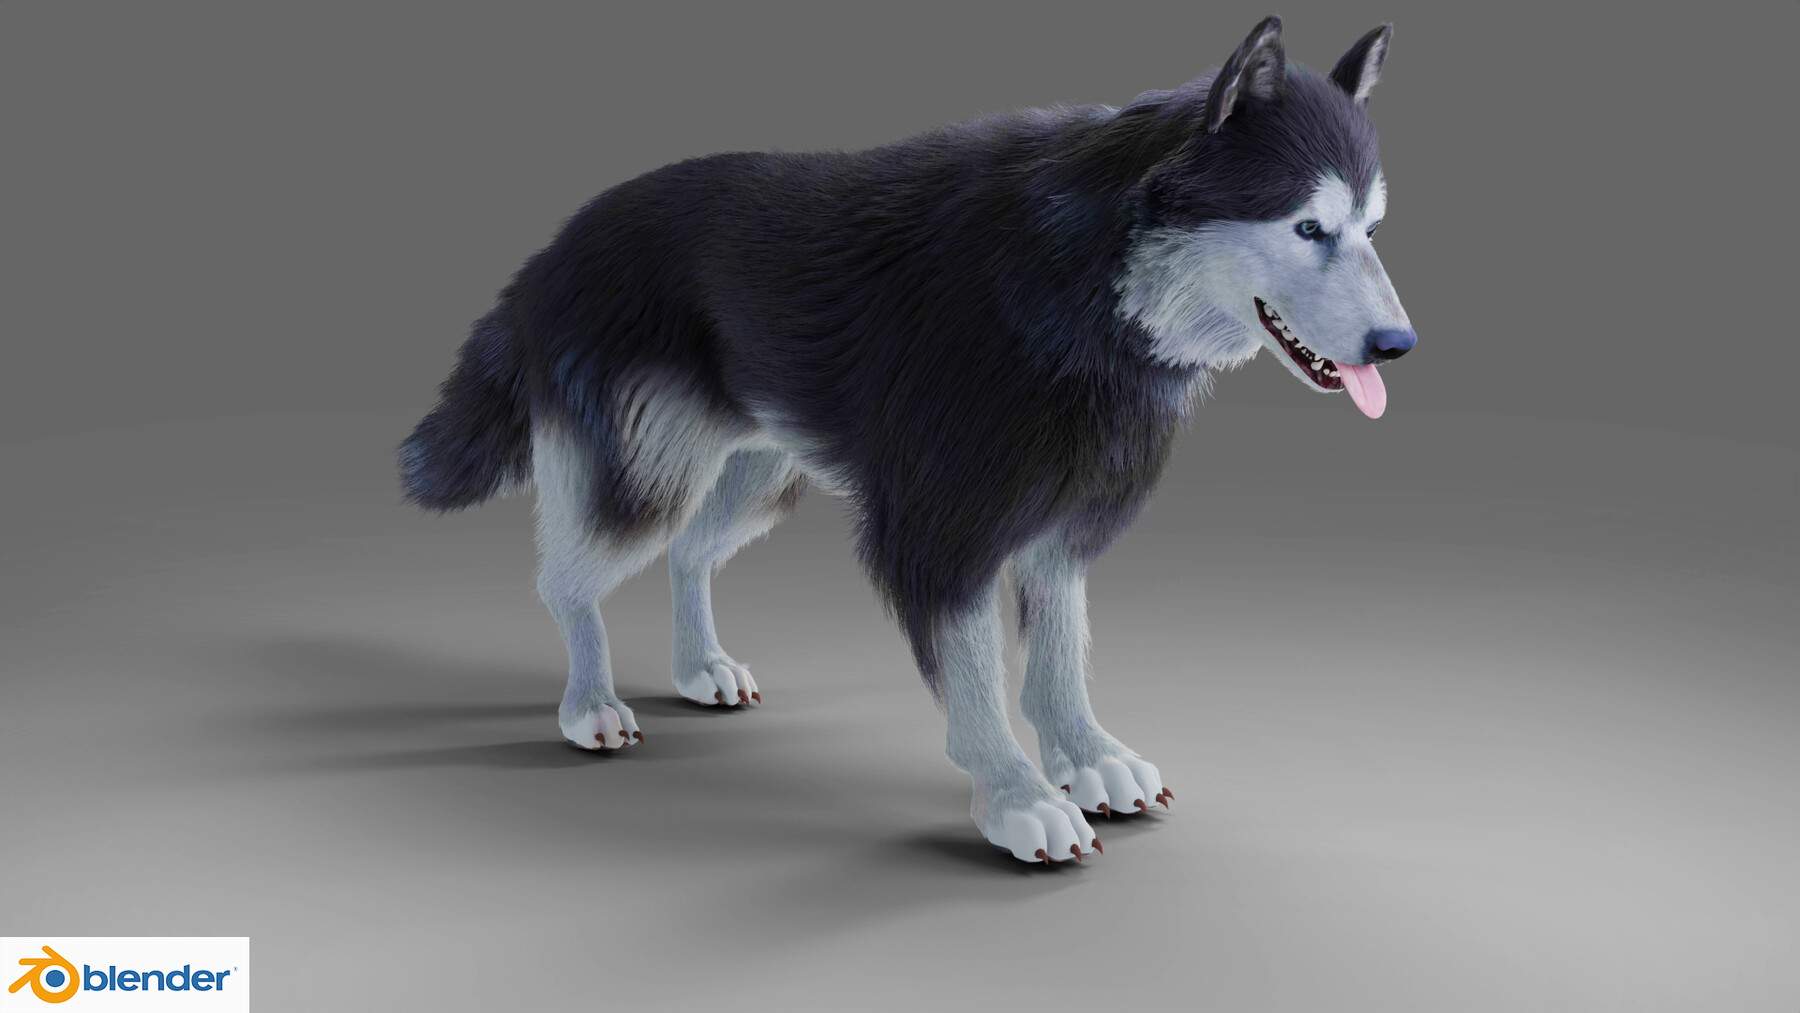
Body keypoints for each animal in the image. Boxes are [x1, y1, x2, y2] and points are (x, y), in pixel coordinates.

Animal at [399, 16, 1417, 863]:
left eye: (1372, 229)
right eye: (1308, 226)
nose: (1399, 346)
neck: (1088, 280)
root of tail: (552, 250)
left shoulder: (1055, 536)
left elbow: (1059, 662)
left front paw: (1086, 755)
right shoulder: (942, 536)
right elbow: (976, 683)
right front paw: (1016, 796)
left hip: (758, 479)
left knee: (689, 554)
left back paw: (698, 667)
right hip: (648, 477)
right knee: (567, 580)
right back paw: (590, 704)